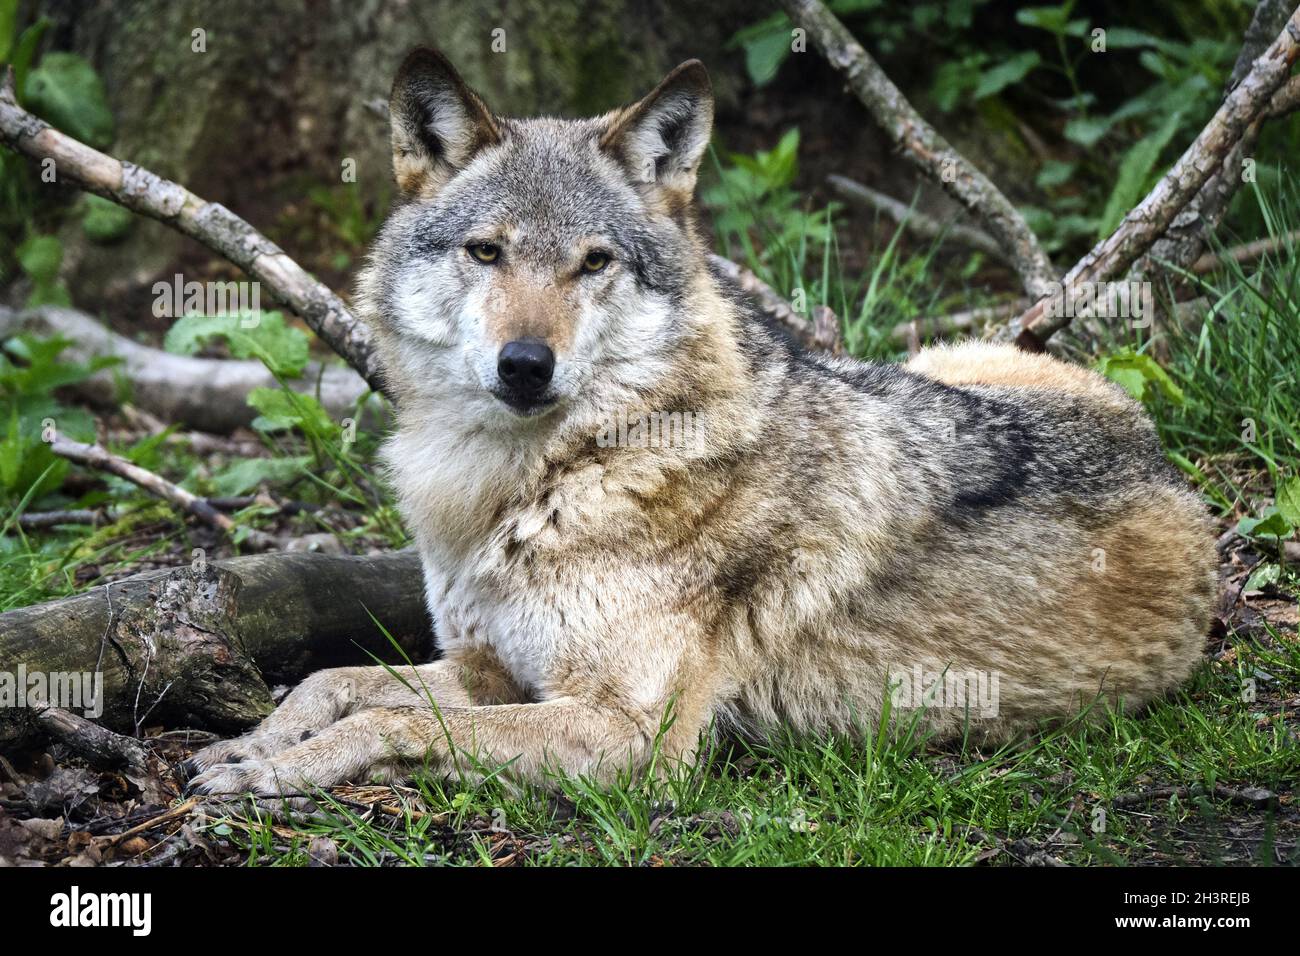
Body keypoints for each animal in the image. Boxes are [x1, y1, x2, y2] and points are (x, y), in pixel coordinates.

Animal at [186, 49, 1216, 798]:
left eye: (594, 262)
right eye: (486, 252)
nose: (526, 364)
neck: (536, 484)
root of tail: (1165, 462)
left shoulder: (628, 733)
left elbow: (389, 719)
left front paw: (276, 770)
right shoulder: (490, 668)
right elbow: (334, 683)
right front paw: (249, 743)